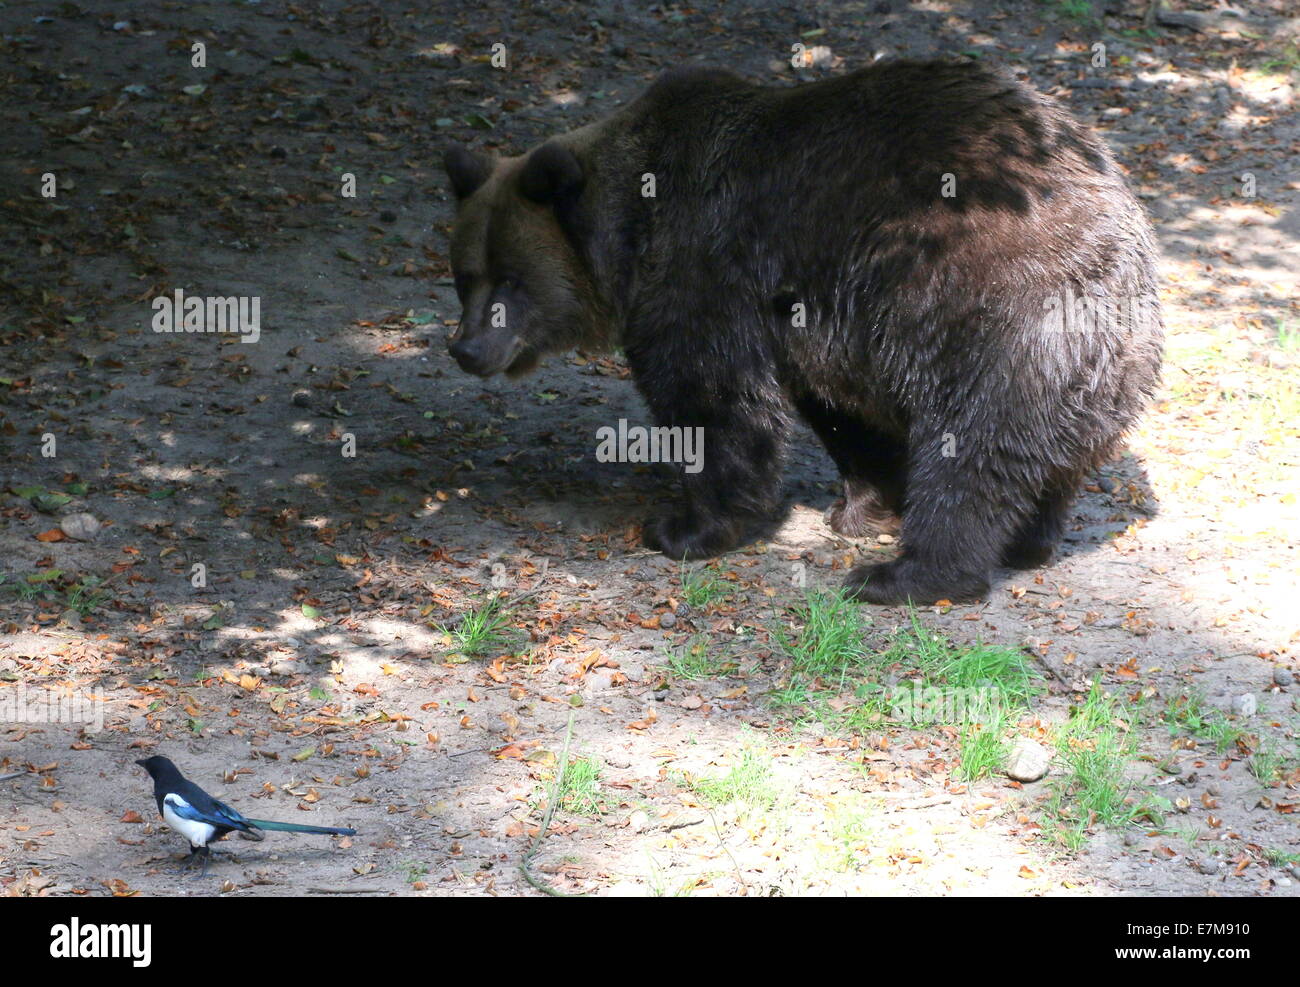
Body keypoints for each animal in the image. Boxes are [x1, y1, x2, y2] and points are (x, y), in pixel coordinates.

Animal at [441, 59, 1163, 605]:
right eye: (464, 275)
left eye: (511, 281)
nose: (466, 349)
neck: (627, 238)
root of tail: (1127, 249)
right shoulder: (817, 325)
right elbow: (844, 415)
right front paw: (861, 506)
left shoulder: (708, 272)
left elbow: (714, 401)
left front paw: (682, 528)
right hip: (1088, 366)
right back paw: (1025, 540)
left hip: (993, 312)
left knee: (972, 448)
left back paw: (904, 575)